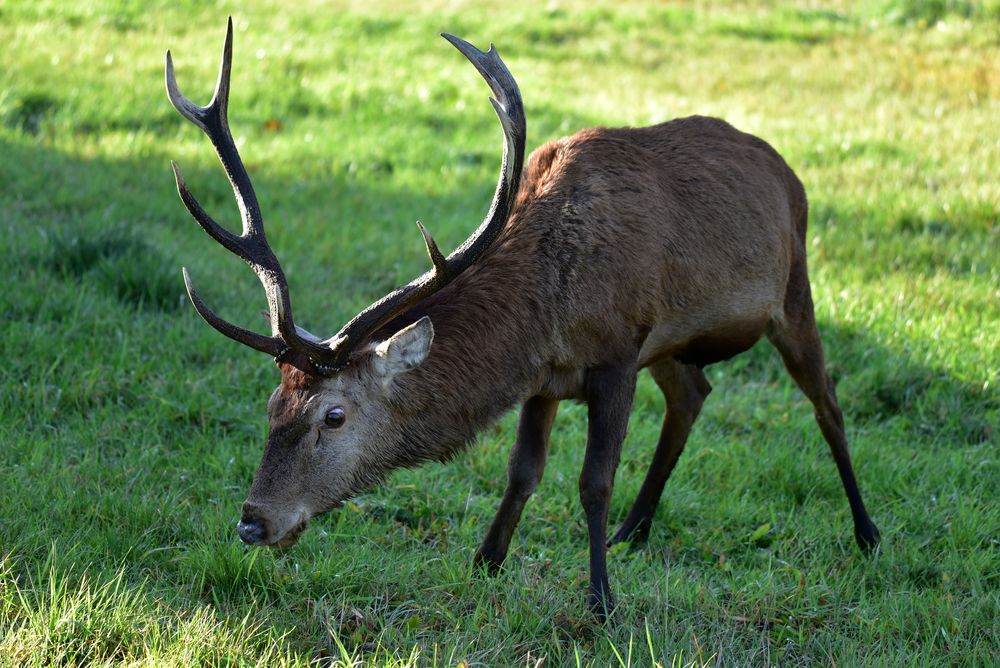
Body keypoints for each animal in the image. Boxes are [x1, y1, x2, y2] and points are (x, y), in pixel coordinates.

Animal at [164, 20, 880, 620]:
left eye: (333, 415)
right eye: (271, 405)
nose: (252, 522)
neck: (546, 306)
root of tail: (784, 166)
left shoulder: (618, 353)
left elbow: (593, 480)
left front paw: (601, 600)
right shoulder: (546, 379)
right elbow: (522, 472)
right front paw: (487, 560)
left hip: (794, 289)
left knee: (826, 400)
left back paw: (867, 532)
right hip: (674, 345)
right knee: (694, 392)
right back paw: (635, 531)